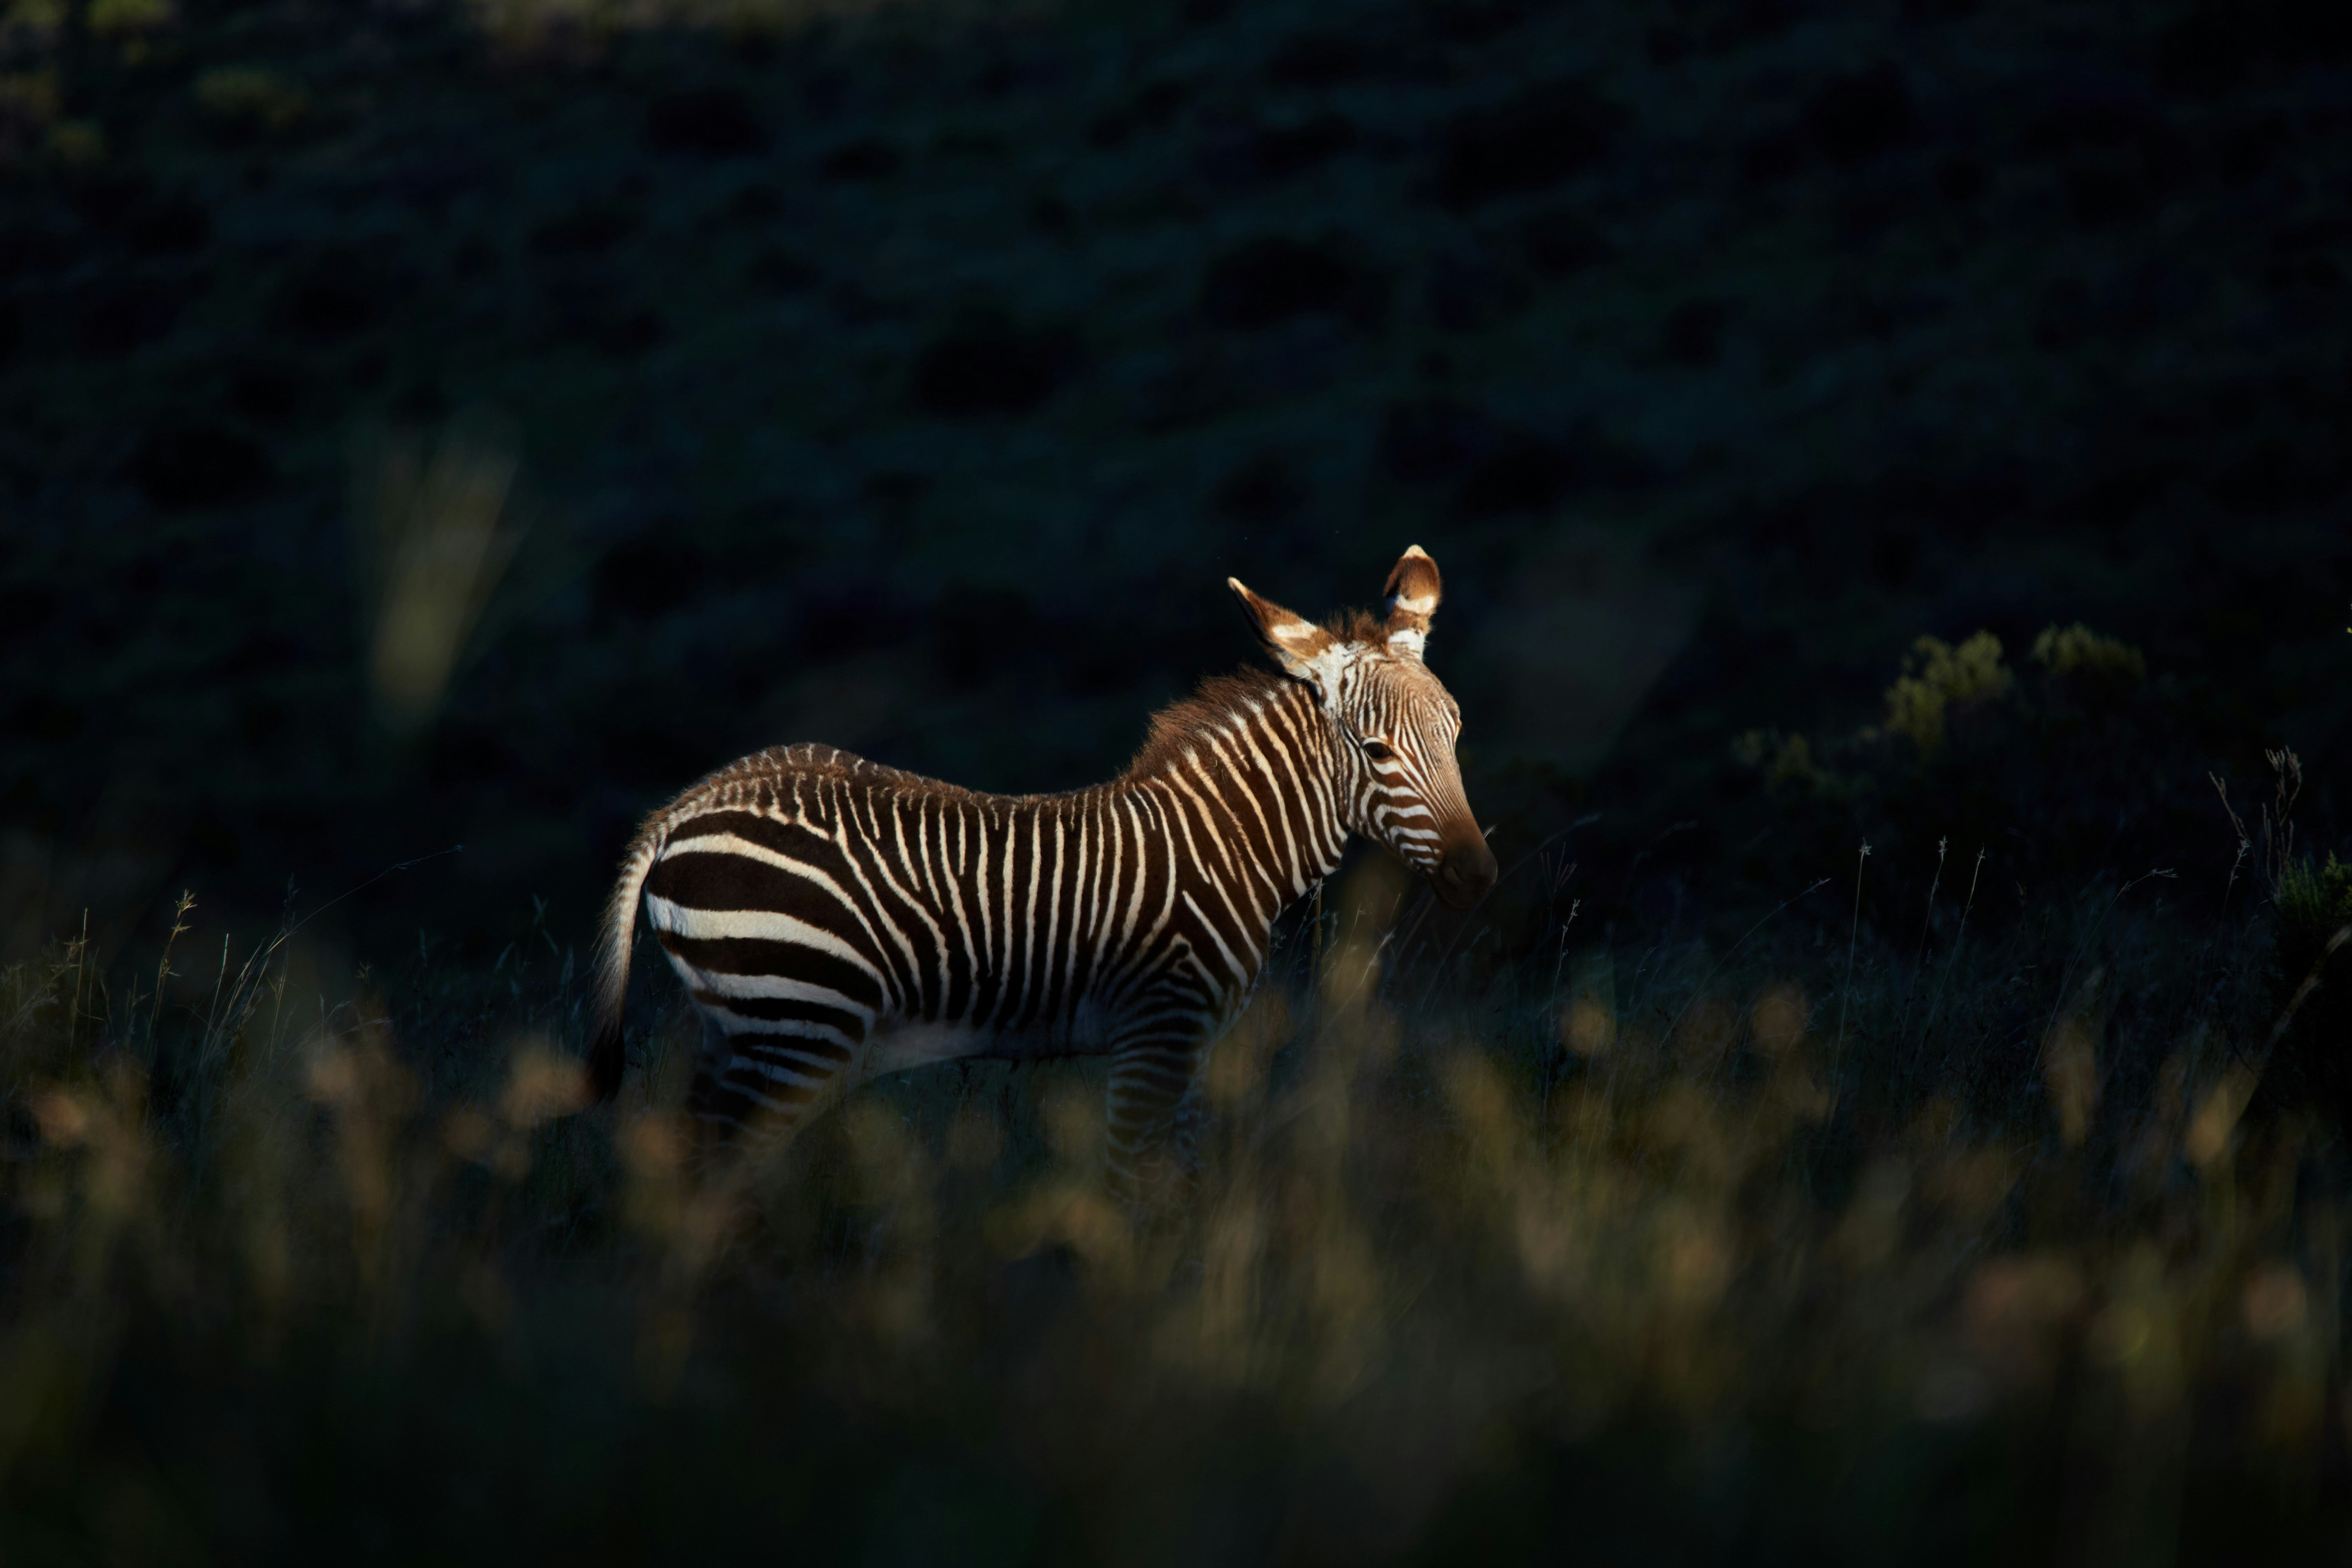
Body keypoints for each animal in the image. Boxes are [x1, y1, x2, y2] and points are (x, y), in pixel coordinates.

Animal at [587, 545, 1497, 1195]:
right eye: (1376, 752)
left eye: (1457, 729)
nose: (1478, 877)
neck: (1222, 844)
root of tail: (689, 803)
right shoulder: (1157, 1029)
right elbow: (1135, 1188)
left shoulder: (1193, 1044)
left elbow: (1183, 1188)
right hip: (797, 1020)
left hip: (743, 1028)